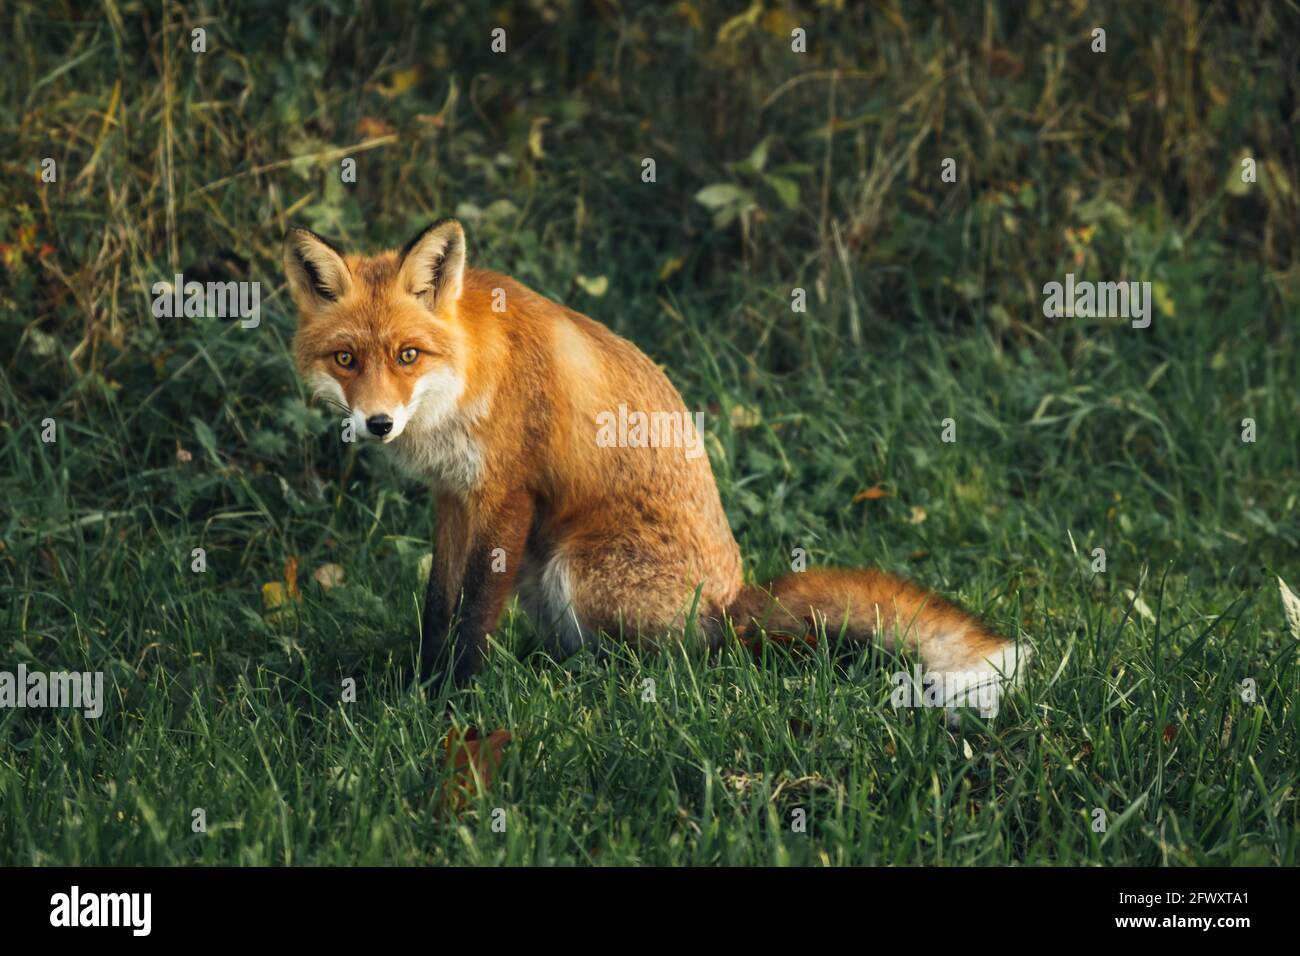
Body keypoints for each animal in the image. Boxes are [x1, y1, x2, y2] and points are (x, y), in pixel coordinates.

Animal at [283, 219, 1030, 718]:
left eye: (408, 355)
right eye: (347, 359)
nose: (378, 423)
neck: (468, 376)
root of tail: (730, 606)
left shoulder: (509, 496)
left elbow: (474, 615)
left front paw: (453, 699)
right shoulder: (453, 496)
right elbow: (439, 605)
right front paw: (421, 682)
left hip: (575, 566)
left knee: (673, 662)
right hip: (544, 571)